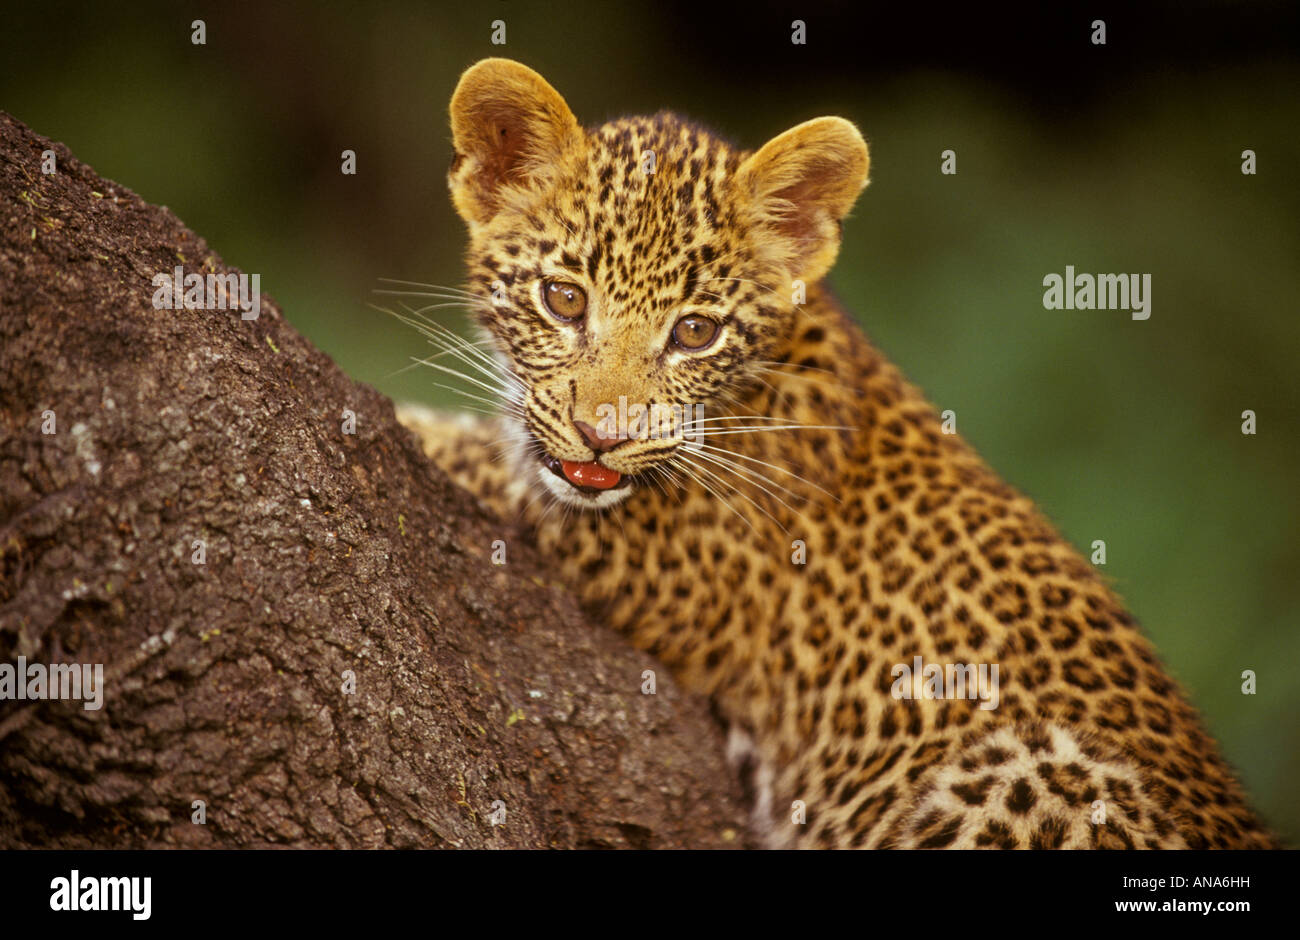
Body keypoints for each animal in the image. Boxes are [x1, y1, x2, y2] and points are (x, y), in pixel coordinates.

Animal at [394, 58, 1277, 849]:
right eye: (564, 299)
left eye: (695, 332)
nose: (604, 435)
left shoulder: (653, 553)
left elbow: (463, 451)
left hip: (1037, 767)